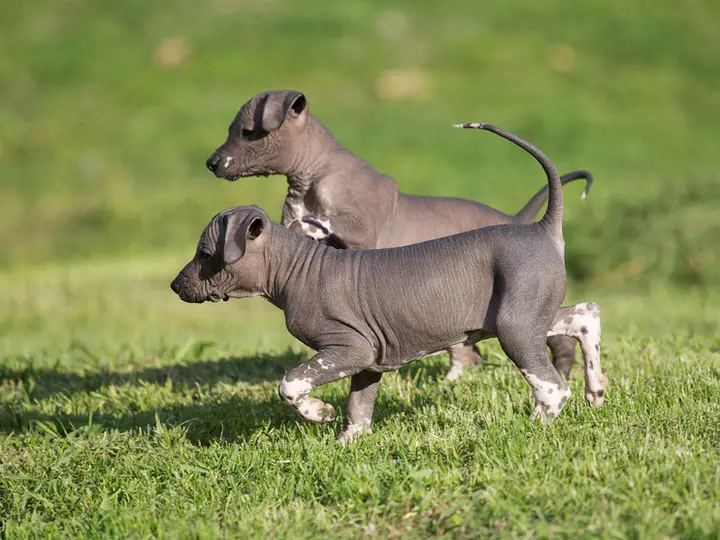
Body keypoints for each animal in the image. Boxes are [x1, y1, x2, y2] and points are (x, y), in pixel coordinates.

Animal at [173, 122, 608, 442]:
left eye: (205, 254)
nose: (176, 286)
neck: (299, 268)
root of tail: (541, 227)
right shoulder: (369, 359)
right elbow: (358, 408)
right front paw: (348, 445)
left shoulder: (349, 347)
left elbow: (290, 383)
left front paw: (318, 412)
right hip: (528, 314)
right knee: (585, 314)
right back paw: (597, 389)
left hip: (514, 325)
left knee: (553, 386)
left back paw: (535, 425)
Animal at [205, 89, 592, 380]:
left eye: (247, 132)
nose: (212, 163)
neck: (312, 177)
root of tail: (520, 220)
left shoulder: (362, 232)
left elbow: (330, 226)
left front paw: (312, 223)